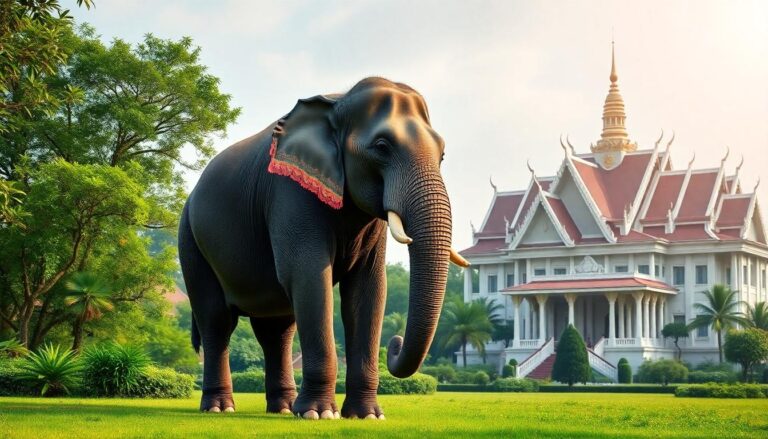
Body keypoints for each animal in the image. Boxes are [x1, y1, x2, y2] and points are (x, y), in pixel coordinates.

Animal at [178, 77, 469, 420]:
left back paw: (283, 409)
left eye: (442, 154)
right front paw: (319, 414)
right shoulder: (291, 191)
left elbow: (368, 288)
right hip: (191, 242)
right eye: (382, 147)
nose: (395, 343)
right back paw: (220, 408)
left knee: (276, 330)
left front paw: (367, 416)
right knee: (216, 320)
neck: (338, 103)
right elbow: (307, 275)